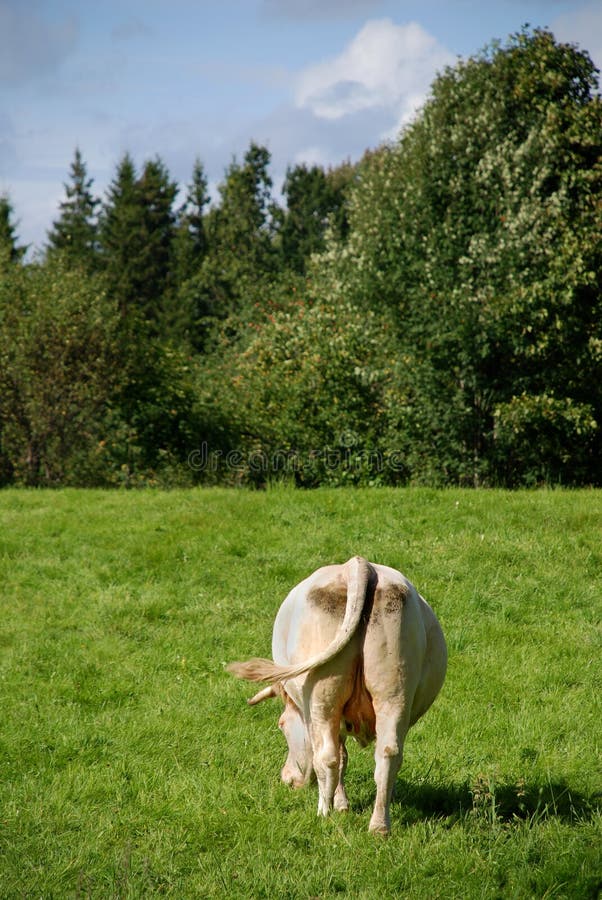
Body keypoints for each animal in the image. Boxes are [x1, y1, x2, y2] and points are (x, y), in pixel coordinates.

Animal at [228, 556, 447, 835]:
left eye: (281, 725)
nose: (287, 779)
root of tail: (358, 565)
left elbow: (336, 756)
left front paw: (339, 805)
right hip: (394, 692)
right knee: (388, 753)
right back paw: (379, 827)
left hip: (322, 696)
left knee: (327, 757)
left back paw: (324, 813)